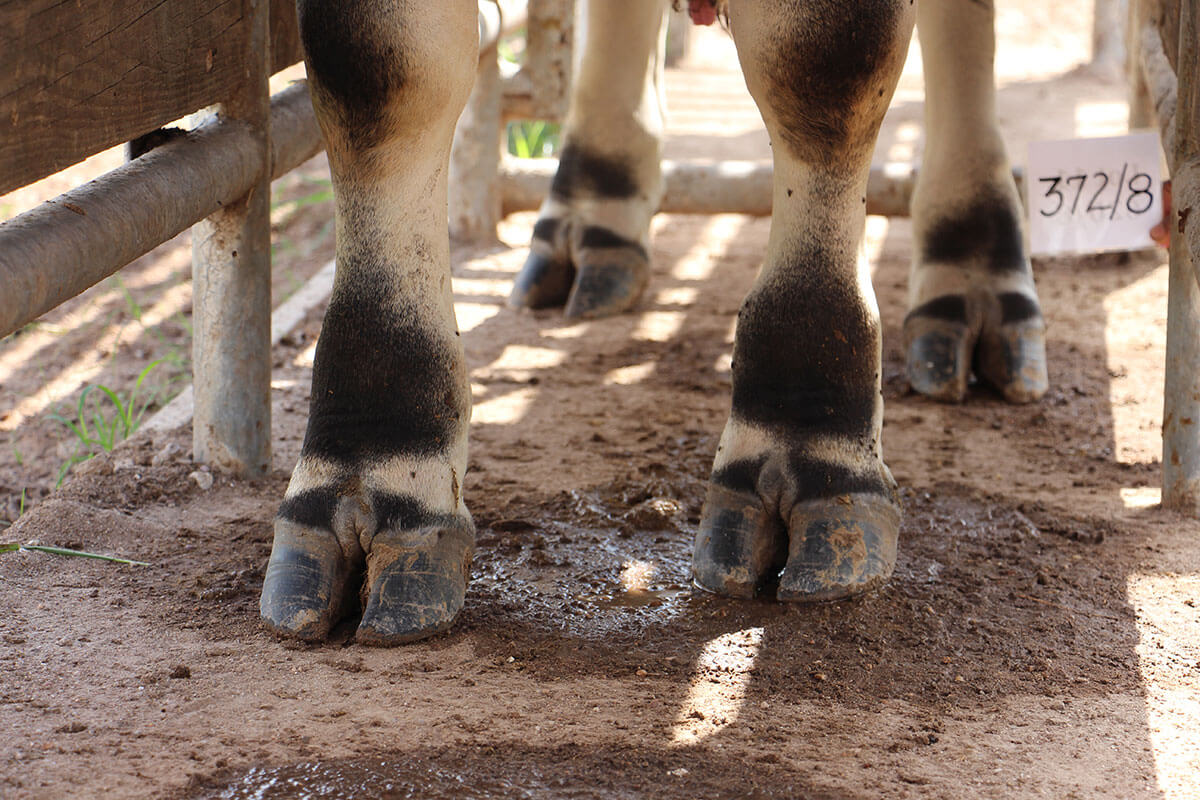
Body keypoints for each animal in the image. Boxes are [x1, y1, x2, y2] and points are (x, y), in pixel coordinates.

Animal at [259, 0, 1047, 645]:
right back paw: (597, 205)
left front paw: (808, 431)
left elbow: (825, 57)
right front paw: (377, 462)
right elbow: (375, 68)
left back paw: (974, 271)